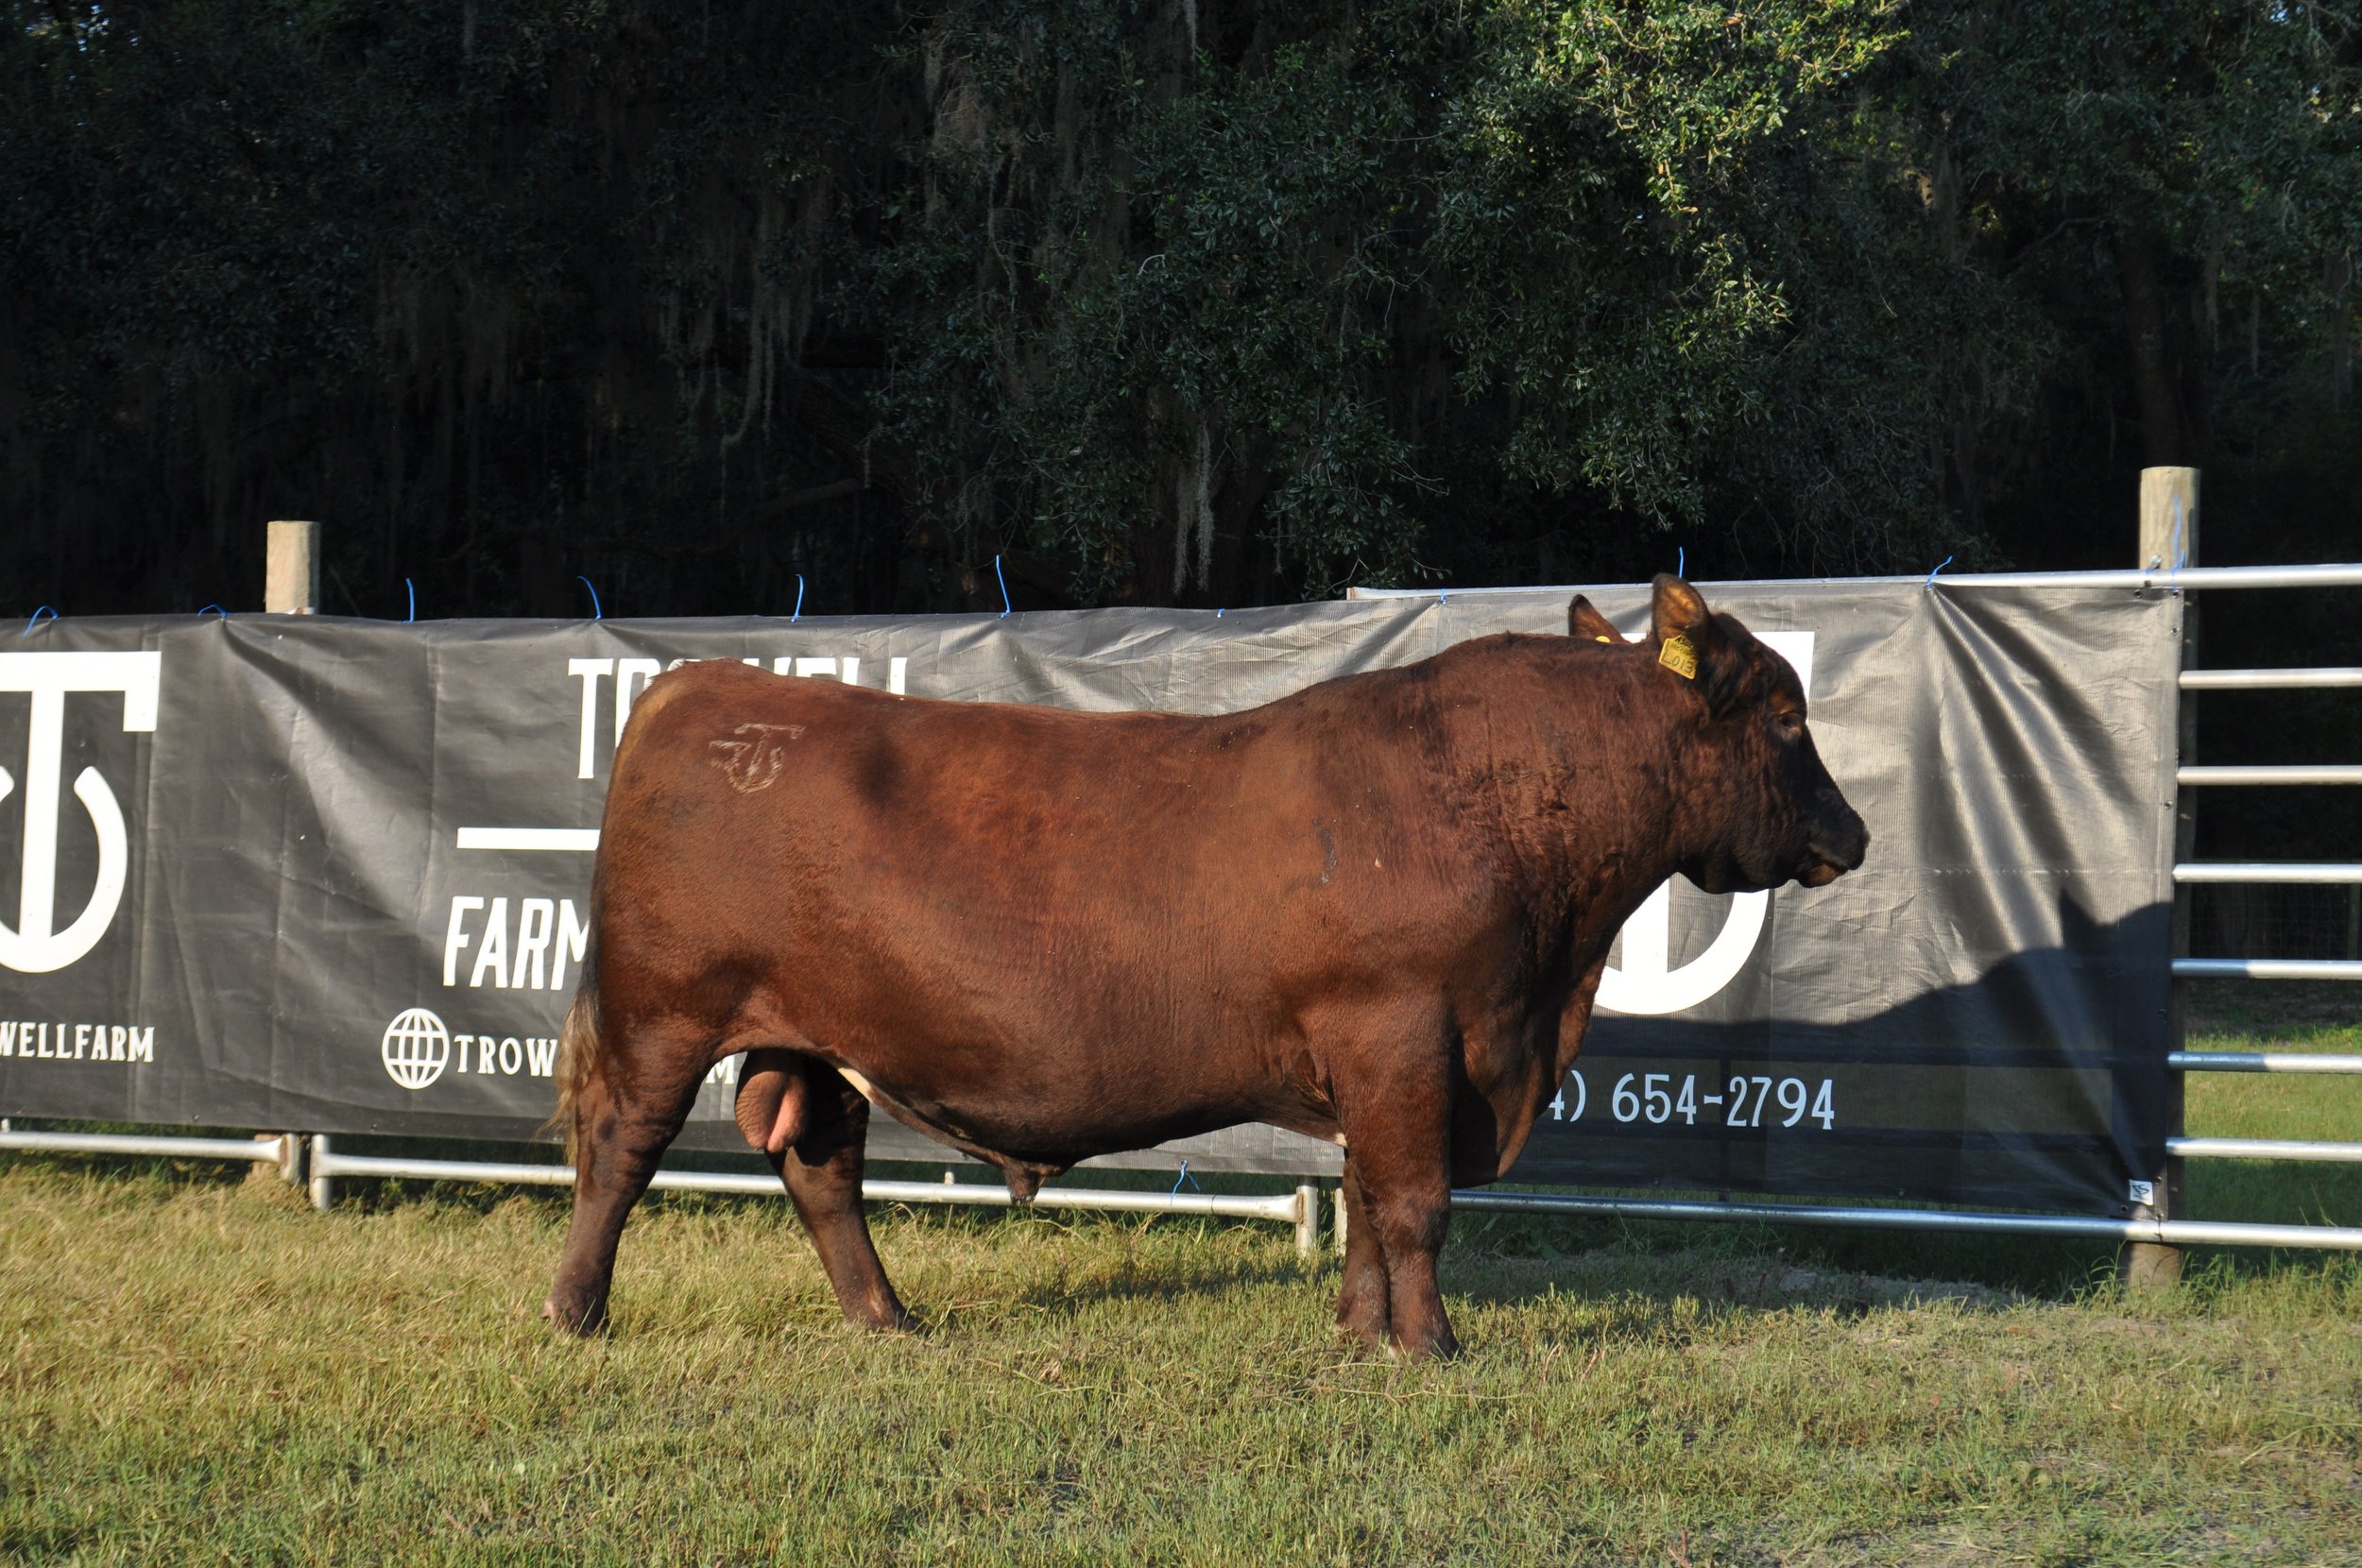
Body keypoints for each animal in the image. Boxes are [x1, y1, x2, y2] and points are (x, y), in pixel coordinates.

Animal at [542, 575, 1866, 1358]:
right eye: (1788, 716)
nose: (1853, 835)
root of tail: (704, 684)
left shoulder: (1387, 1054)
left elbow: (1371, 1199)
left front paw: (1358, 1336)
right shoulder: (1402, 1028)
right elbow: (1417, 1202)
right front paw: (1432, 1347)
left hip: (814, 1036)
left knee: (820, 1167)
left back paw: (888, 1318)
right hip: (666, 1015)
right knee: (617, 1152)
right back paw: (577, 1312)